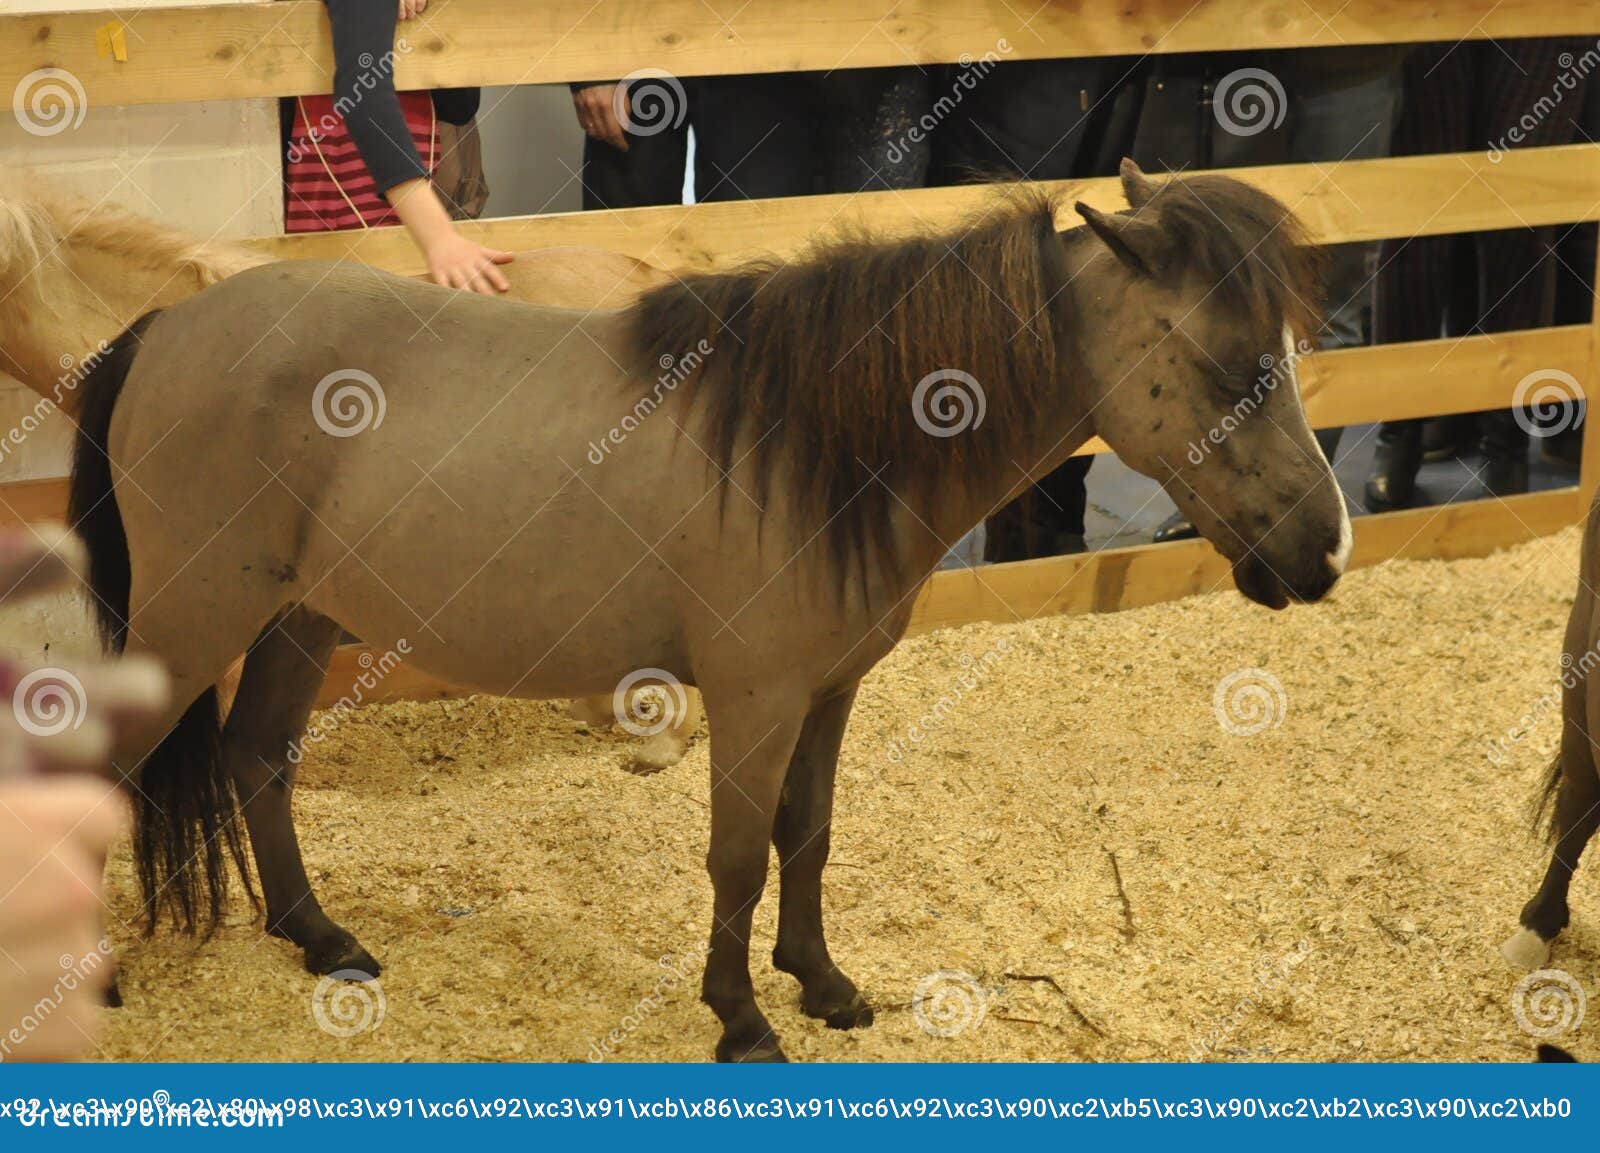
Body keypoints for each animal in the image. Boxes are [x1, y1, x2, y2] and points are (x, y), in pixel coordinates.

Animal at [68, 159, 1349, 1062]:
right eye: (1228, 365)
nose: (1324, 547)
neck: (821, 442)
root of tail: (167, 328)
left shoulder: (828, 691)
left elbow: (807, 836)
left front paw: (823, 983)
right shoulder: (755, 694)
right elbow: (736, 854)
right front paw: (740, 1018)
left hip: (302, 618)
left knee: (257, 758)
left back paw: (320, 937)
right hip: (195, 619)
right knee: (111, 774)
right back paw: (96, 979)